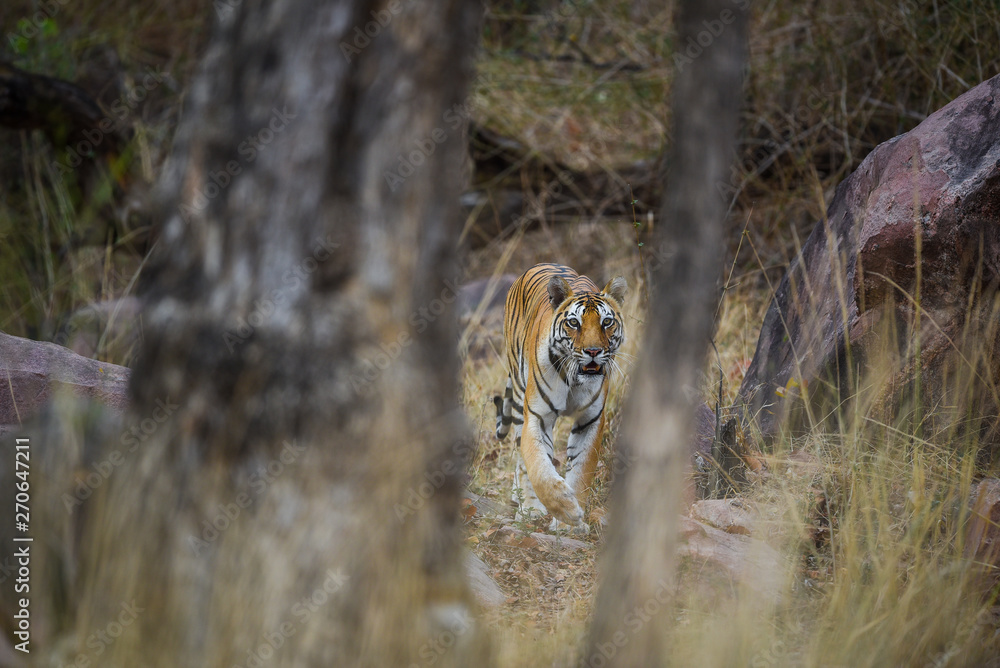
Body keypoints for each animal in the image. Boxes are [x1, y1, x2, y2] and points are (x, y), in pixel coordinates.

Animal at [493, 263, 627, 531]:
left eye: (607, 321)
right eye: (574, 323)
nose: (593, 351)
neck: (574, 378)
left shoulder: (591, 420)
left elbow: (582, 470)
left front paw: (569, 524)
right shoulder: (538, 416)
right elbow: (539, 467)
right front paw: (563, 508)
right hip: (519, 396)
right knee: (522, 458)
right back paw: (527, 507)